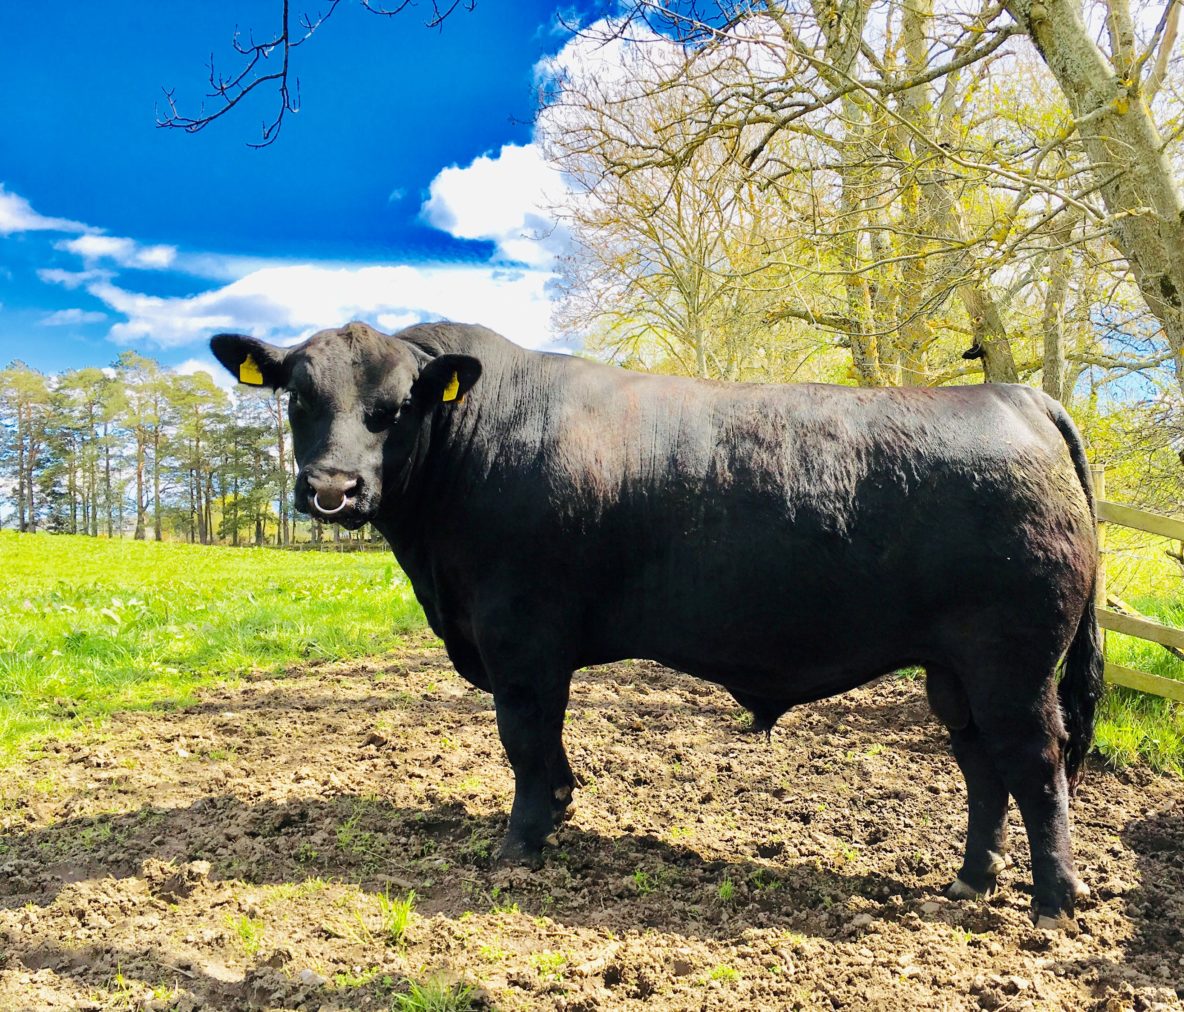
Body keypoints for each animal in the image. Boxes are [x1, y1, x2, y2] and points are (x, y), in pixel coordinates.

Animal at [211, 320, 1102, 929]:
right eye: (299, 398)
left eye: (394, 408)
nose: (333, 489)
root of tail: (1016, 395)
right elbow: (541, 749)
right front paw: (551, 821)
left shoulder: (521, 637)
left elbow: (527, 743)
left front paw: (519, 845)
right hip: (953, 667)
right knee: (981, 765)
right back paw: (972, 878)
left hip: (1013, 661)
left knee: (1036, 764)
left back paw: (1052, 901)